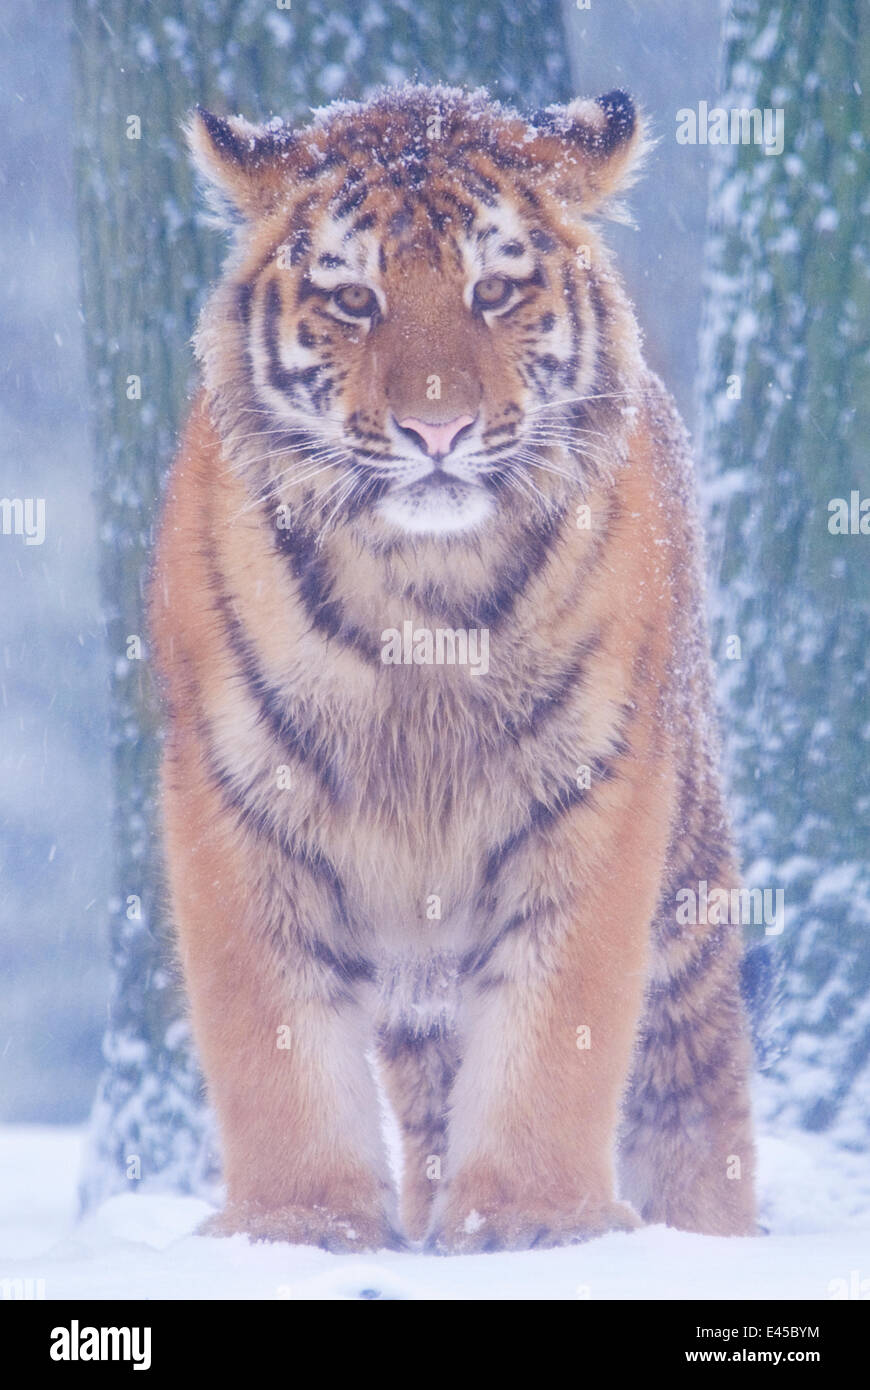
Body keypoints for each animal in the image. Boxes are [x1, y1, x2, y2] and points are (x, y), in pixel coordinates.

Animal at [150, 82, 757, 1253]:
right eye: (353, 299)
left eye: (496, 290)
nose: (438, 428)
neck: (420, 598)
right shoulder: (236, 797)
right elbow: (269, 1038)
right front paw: (300, 1226)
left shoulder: (598, 788)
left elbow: (559, 1026)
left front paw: (535, 1220)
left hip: (690, 882)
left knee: (694, 1068)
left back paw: (709, 1235)